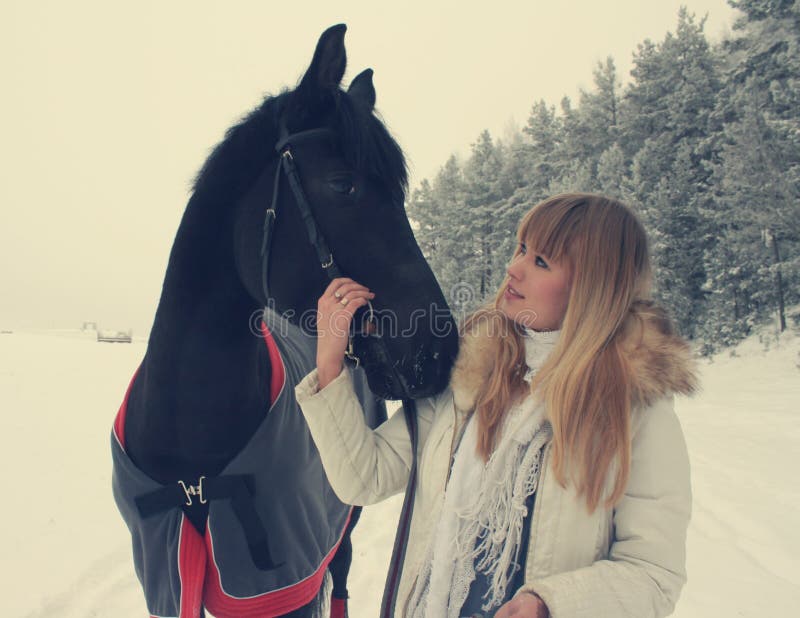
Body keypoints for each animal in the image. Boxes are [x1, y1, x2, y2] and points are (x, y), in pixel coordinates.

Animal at [111, 24, 458, 618]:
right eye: (343, 184)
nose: (437, 350)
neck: (191, 462)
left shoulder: (280, 590)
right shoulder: (167, 591)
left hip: (341, 527)